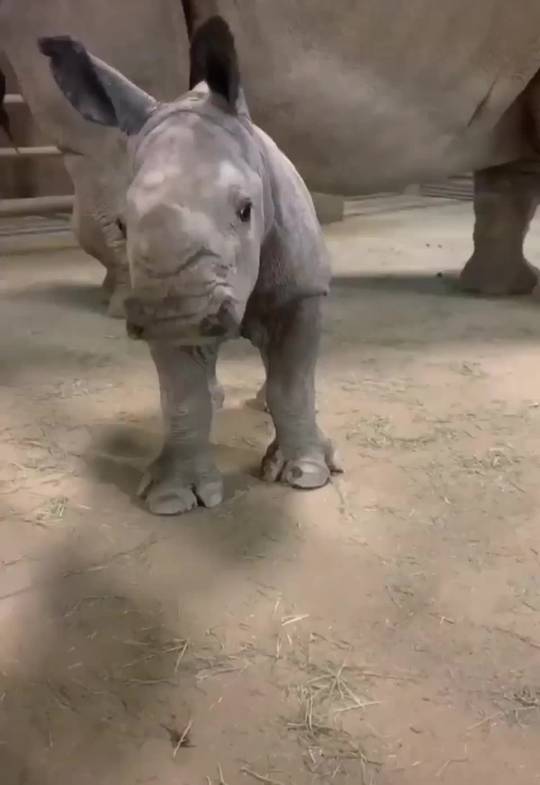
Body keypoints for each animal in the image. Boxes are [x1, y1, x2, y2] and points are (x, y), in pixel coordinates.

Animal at [38, 17, 341, 514]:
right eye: (121, 224)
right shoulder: (158, 298)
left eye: (245, 211)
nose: (175, 311)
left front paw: (306, 474)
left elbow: (292, 383)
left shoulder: (302, 291)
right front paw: (172, 497)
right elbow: (183, 397)